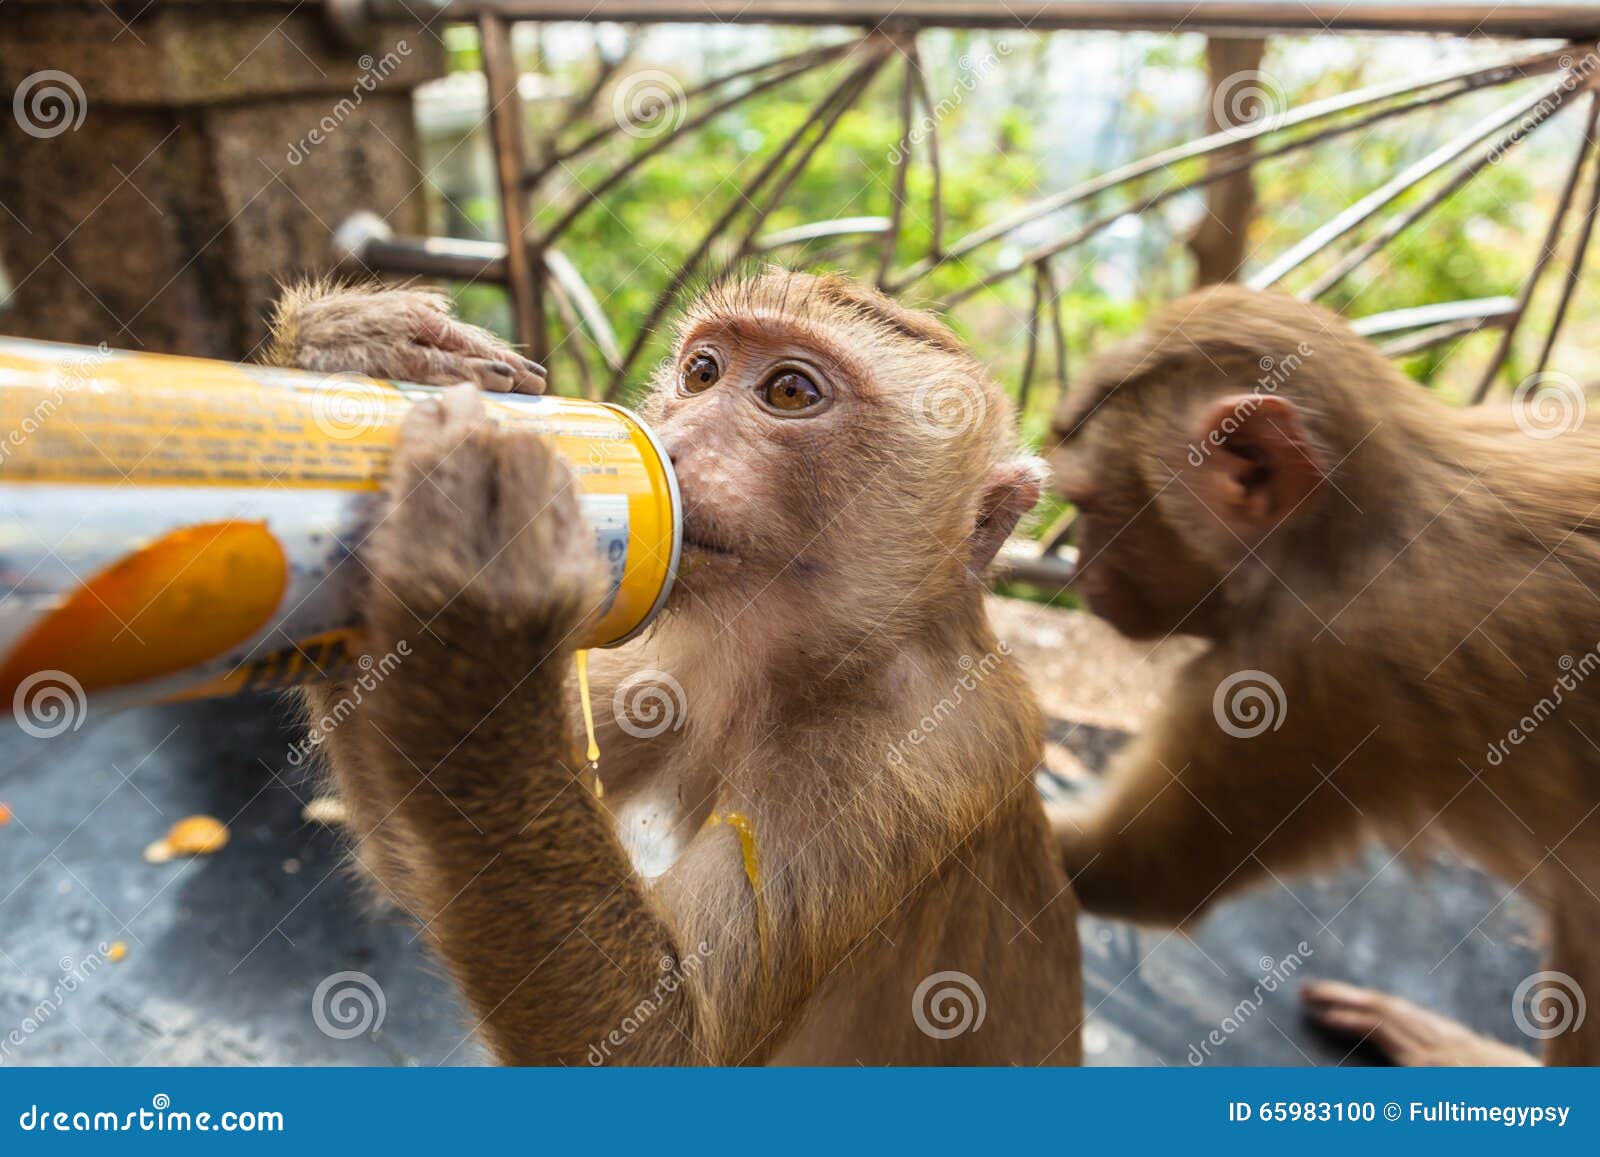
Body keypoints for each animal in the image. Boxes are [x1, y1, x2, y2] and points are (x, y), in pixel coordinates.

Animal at [265, 271, 1083, 1066]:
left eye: (791, 392)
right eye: (701, 373)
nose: (669, 442)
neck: (815, 667)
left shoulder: (901, 758)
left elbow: (666, 1043)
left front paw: (484, 603)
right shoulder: (665, 663)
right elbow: (410, 856)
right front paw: (355, 348)